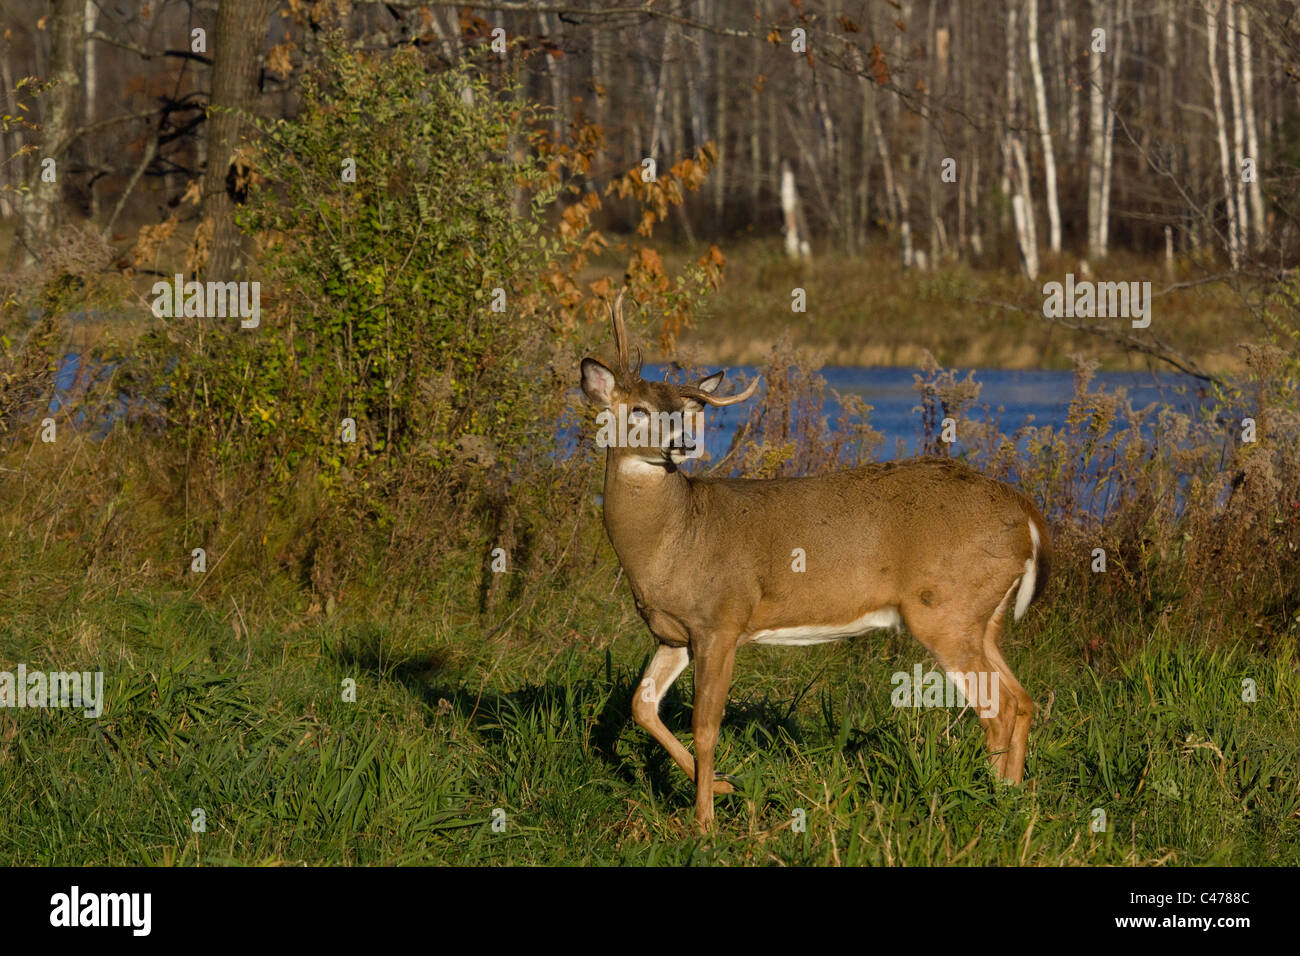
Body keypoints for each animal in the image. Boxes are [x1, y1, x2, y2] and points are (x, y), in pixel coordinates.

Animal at [580, 292, 1052, 831]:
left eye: (680, 413)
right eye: (638, 410)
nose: (680, 445)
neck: (672, 538)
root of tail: (1025, 513)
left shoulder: (722, 620)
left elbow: (705, 727)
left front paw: (705, 823)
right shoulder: (674, 633)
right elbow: (641, 705)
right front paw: (723, 786)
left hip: (945, 610)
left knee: (997, 709)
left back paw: (993, 804)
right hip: (983, 616)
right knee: (1022, 700)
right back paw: (1012, 798)